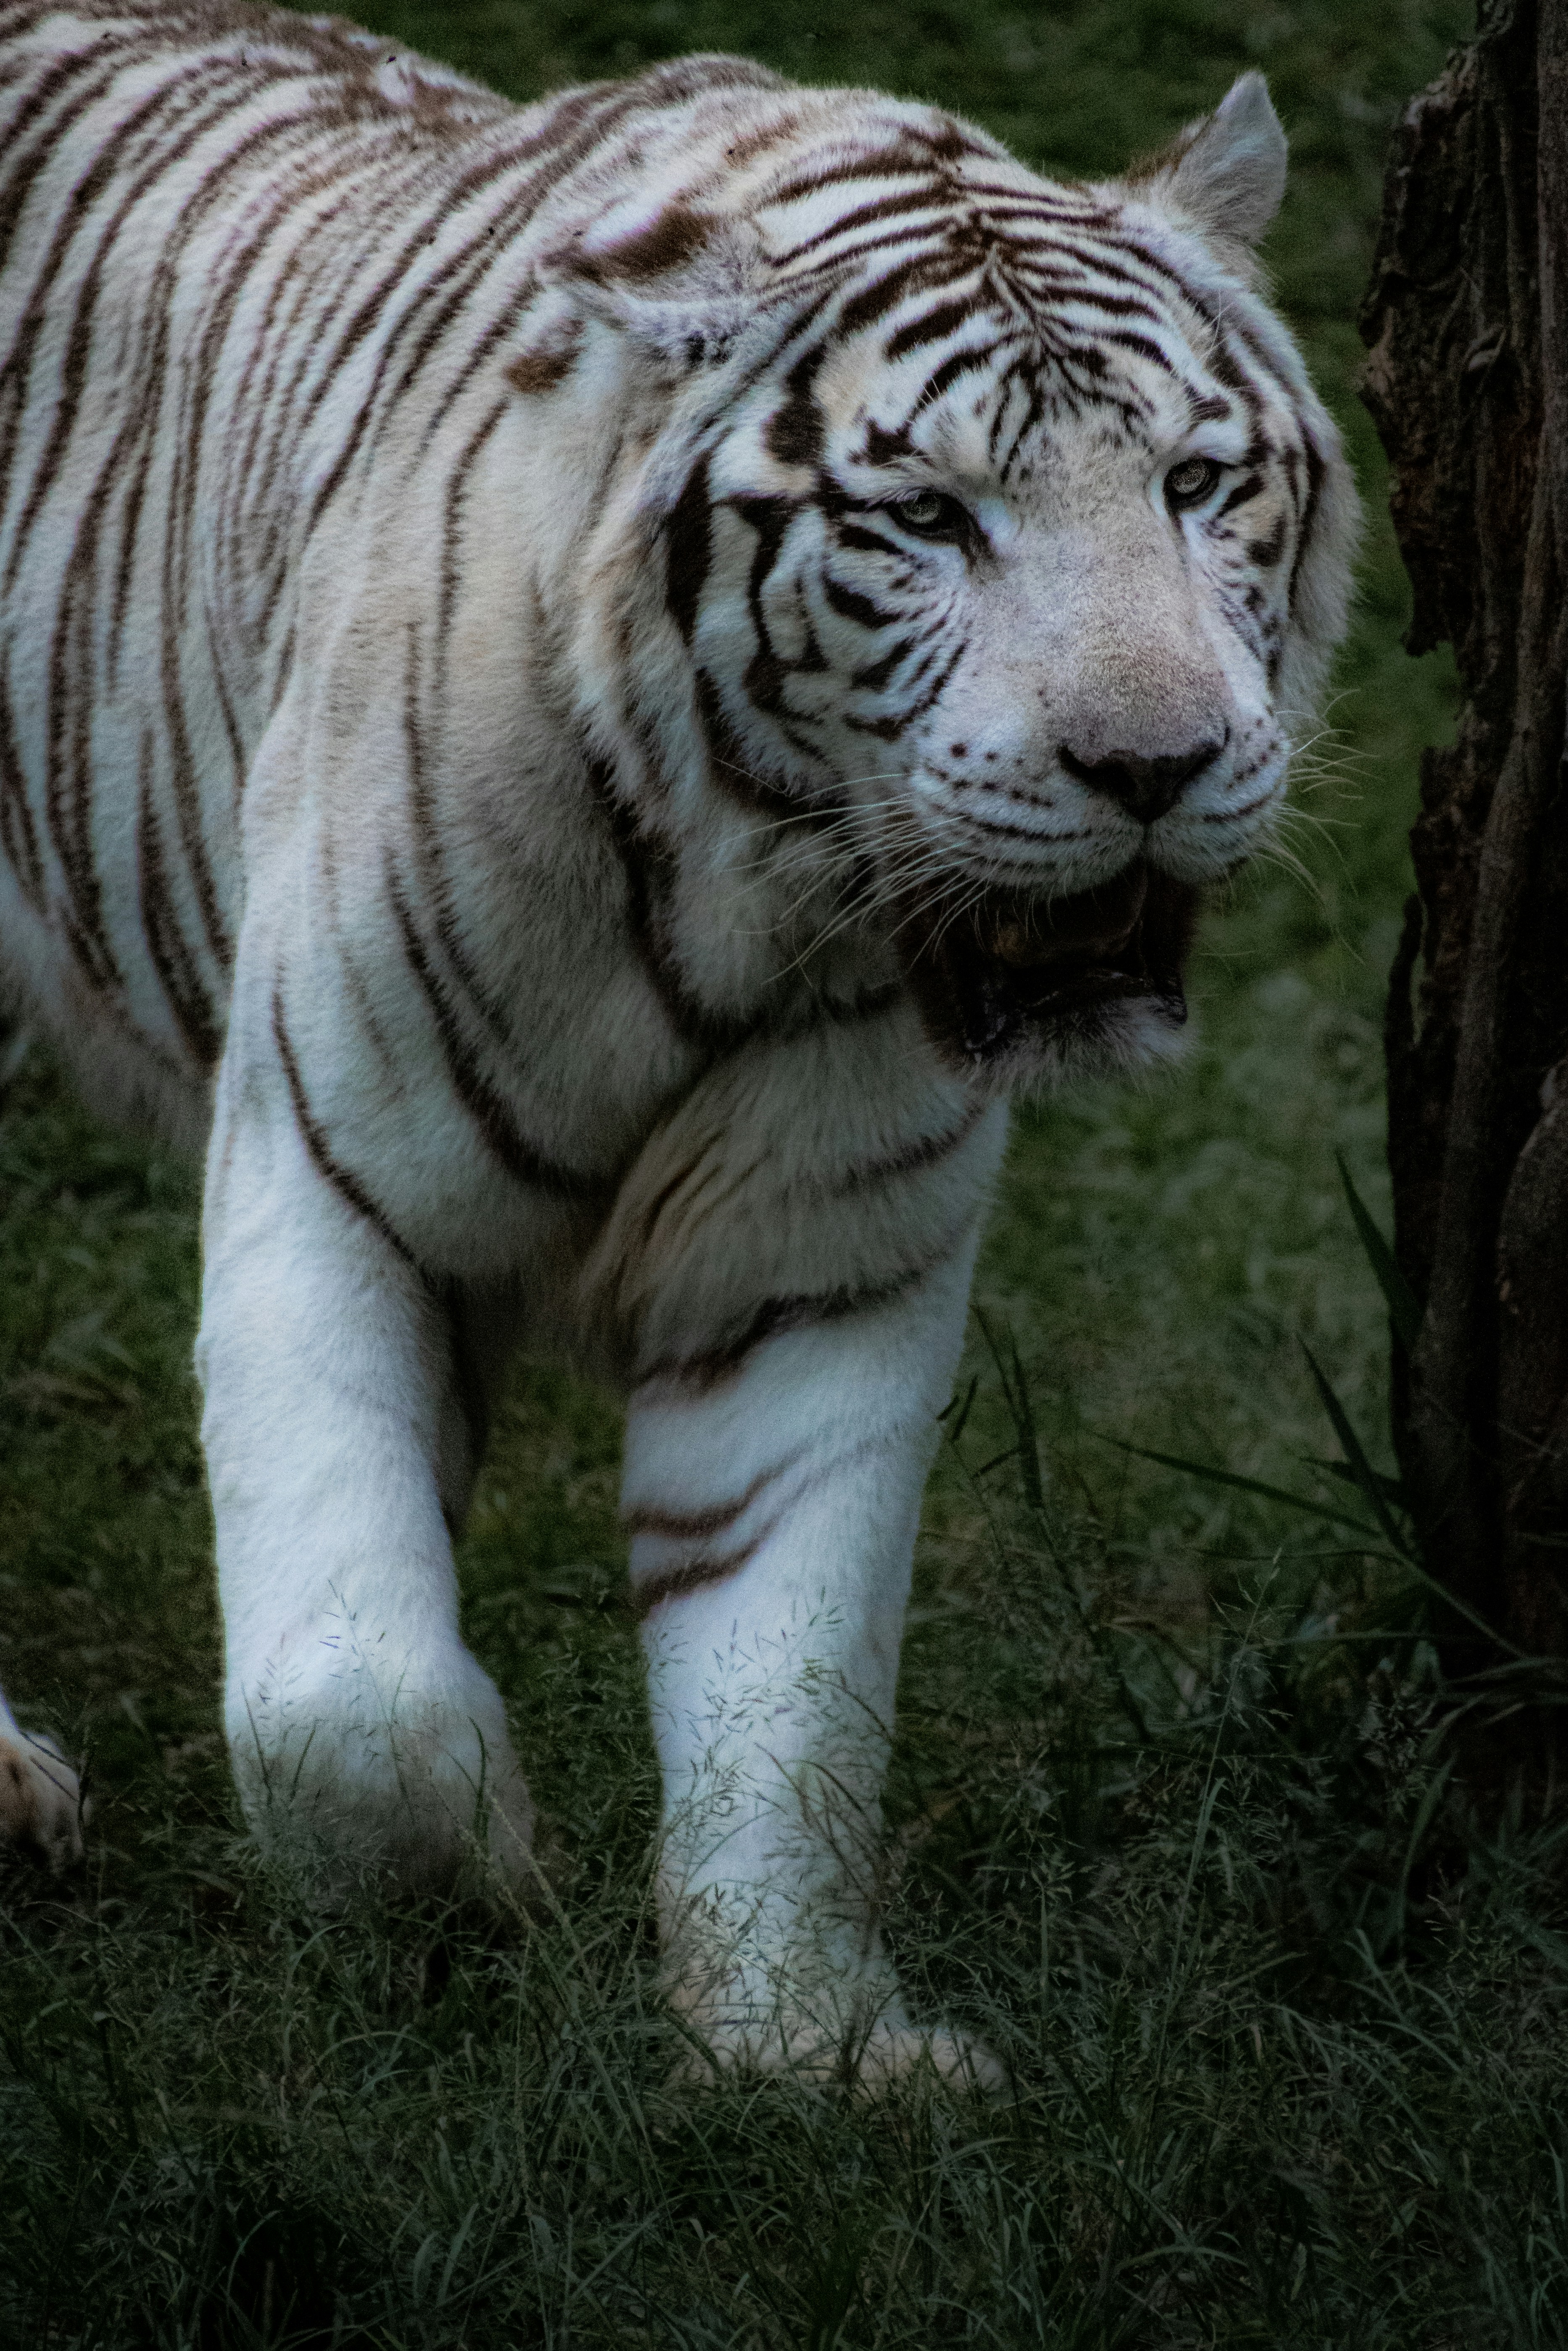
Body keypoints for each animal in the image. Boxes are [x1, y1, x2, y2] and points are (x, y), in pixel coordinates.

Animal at [0, 0, 1355, 2085]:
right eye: (927, 519)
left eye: (1200, 489)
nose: (1155, 763)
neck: (739, 902)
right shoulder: (330, 1170)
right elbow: (348, 1705)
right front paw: (485, 1877)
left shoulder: (812, 1265)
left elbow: (786, 1689)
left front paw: (806, 2046)